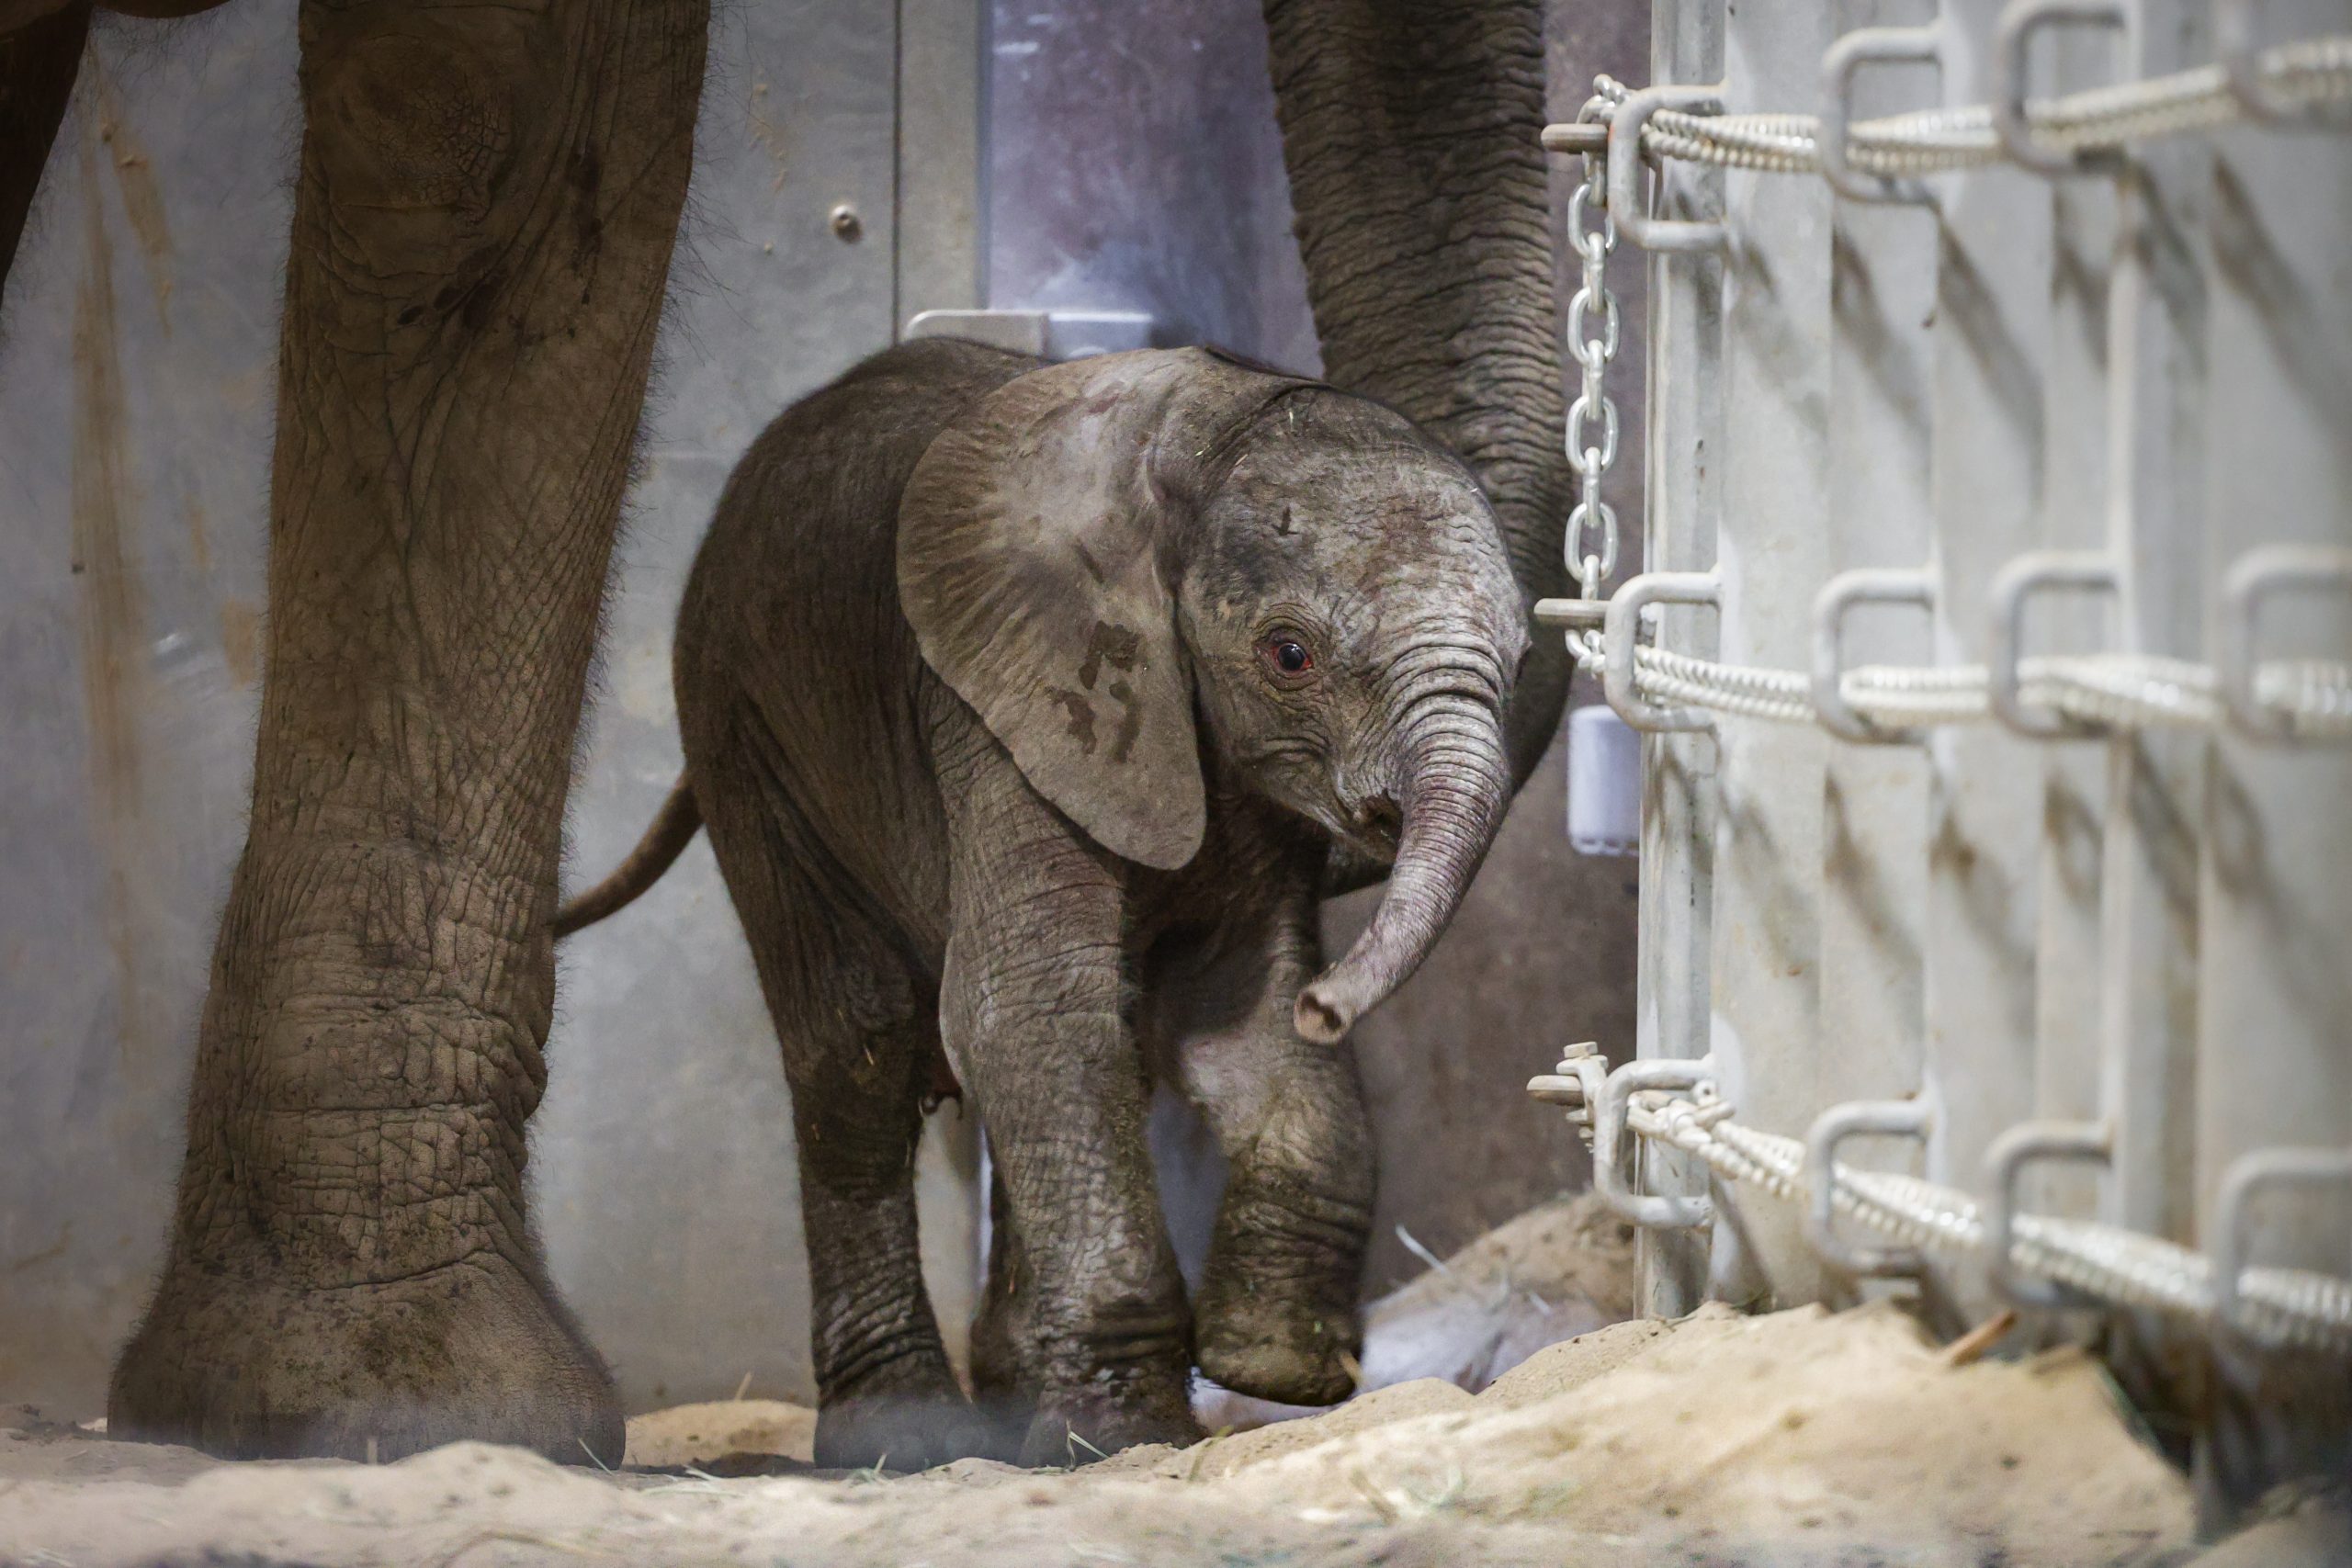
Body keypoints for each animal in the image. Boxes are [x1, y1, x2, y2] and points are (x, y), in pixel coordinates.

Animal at [553, 336, 1531, 1467]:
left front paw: (1271, 1368)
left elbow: (1232, 1018)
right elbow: (1023, 1008)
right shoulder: (1005, 701)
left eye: (1521, 656)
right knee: (857, 1049)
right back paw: (905, 1433)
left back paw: (1011, 1399)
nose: (1329, 1003)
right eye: (1290, 654)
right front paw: (1123, 1435)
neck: (1208, 424)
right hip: (743, 726)